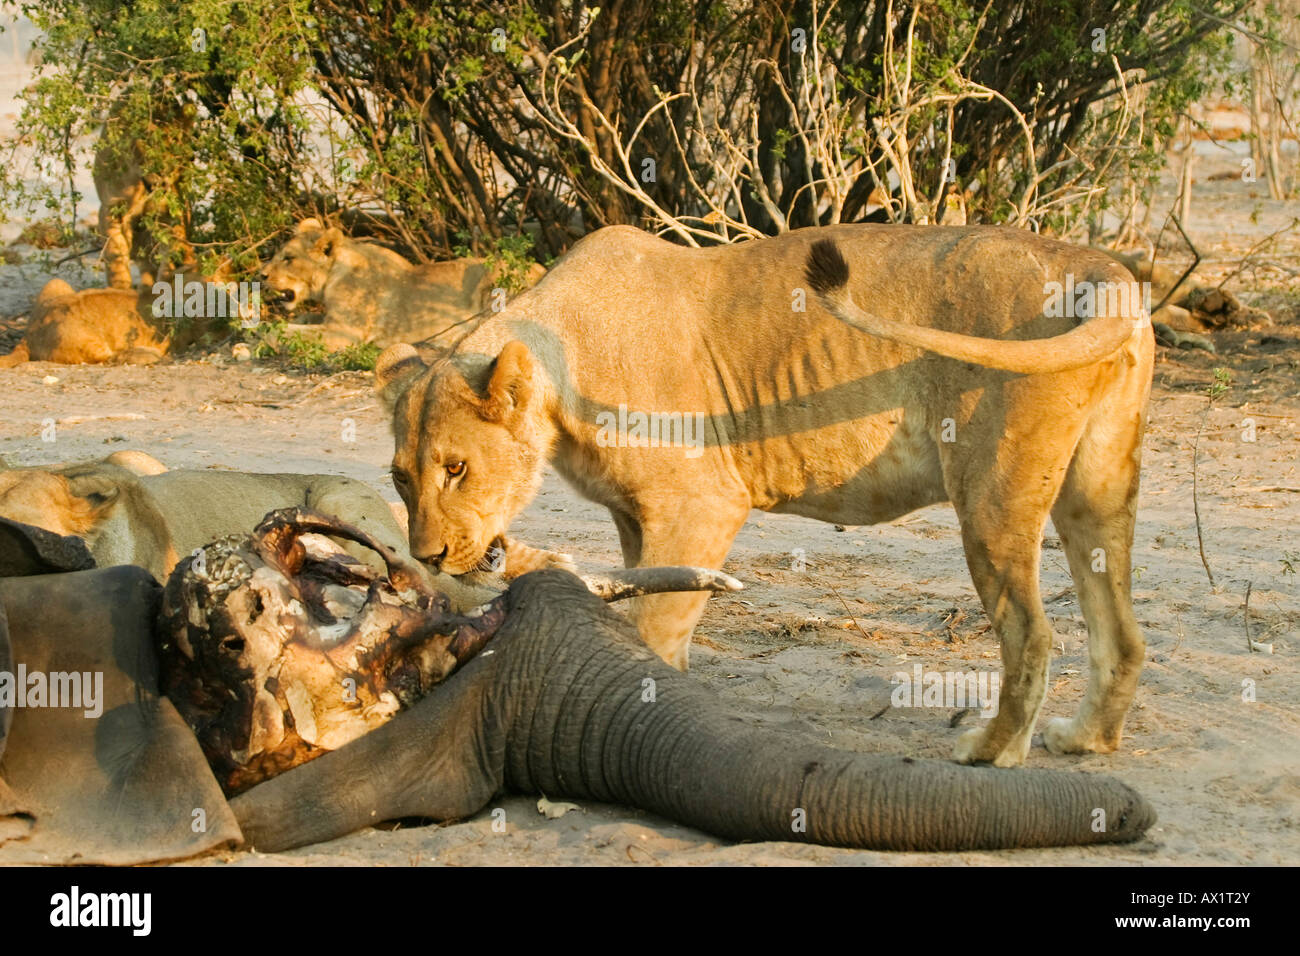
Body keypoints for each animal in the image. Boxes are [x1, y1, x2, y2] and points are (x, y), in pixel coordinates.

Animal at [261, 218, 547, 349]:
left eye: (288, 258)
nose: (261, 275)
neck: (333, 275)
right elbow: (303, 319)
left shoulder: (342, 334)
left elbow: (291, 331)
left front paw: (263, 334)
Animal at [375, 223, 1155, 769]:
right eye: (400, 478)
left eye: (456, 468)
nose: (428, 556)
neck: (560, 367)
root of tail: (1105, 268)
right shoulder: (636, 517)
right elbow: (664, 606)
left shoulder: (701, 503)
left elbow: (655, 626)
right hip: (1095, 494)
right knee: (1120, 630)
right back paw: (1085, 738)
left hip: (991, 492)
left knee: (1034, 631)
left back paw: (994, 749)